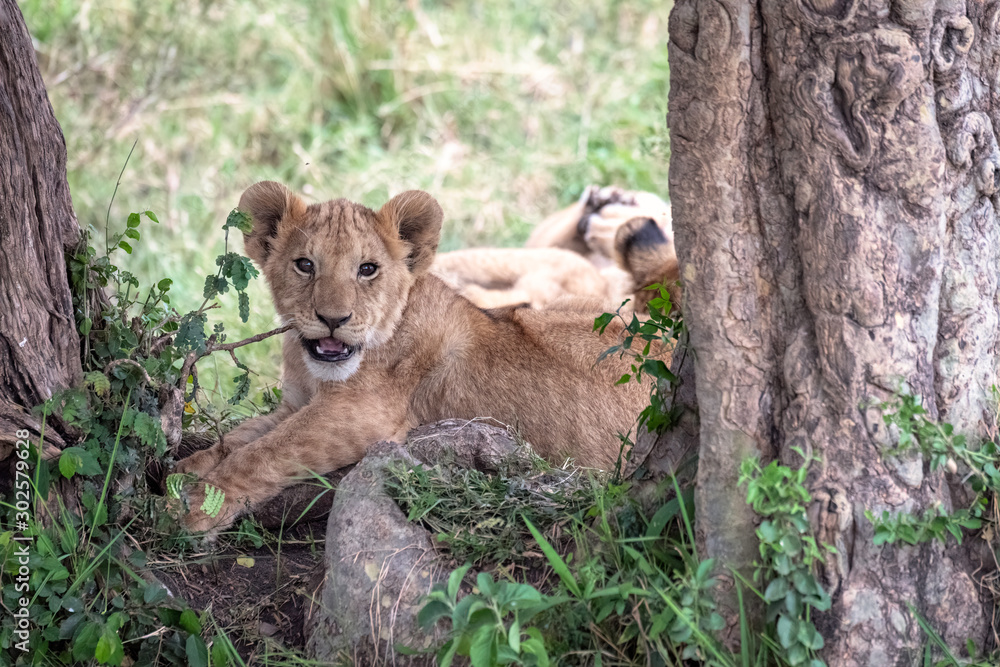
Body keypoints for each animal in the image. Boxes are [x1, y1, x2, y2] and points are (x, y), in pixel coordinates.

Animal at [175, 182, 665, 534]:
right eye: (305, 265)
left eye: (367, 269)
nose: (333, 319)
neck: (315, 370)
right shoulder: (296, 403)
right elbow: (237, 439)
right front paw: (182, 472)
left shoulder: (361, 412)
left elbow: (263, 453)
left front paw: (199, 506)